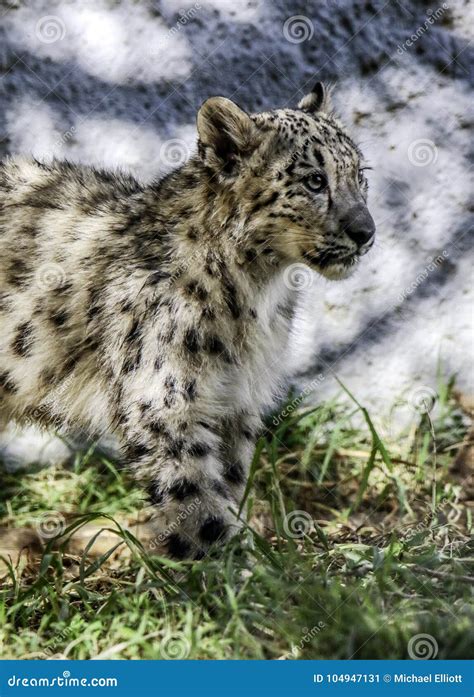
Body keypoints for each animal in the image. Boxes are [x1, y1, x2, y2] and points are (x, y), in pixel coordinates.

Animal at [0, 83, 375, 560]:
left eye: (360, 174)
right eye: (314, 180)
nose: (366, 231)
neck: (258, 293)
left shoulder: (234, 399)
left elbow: (229, 478)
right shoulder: (164, 399)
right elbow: (195, 495)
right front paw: (228, 562)